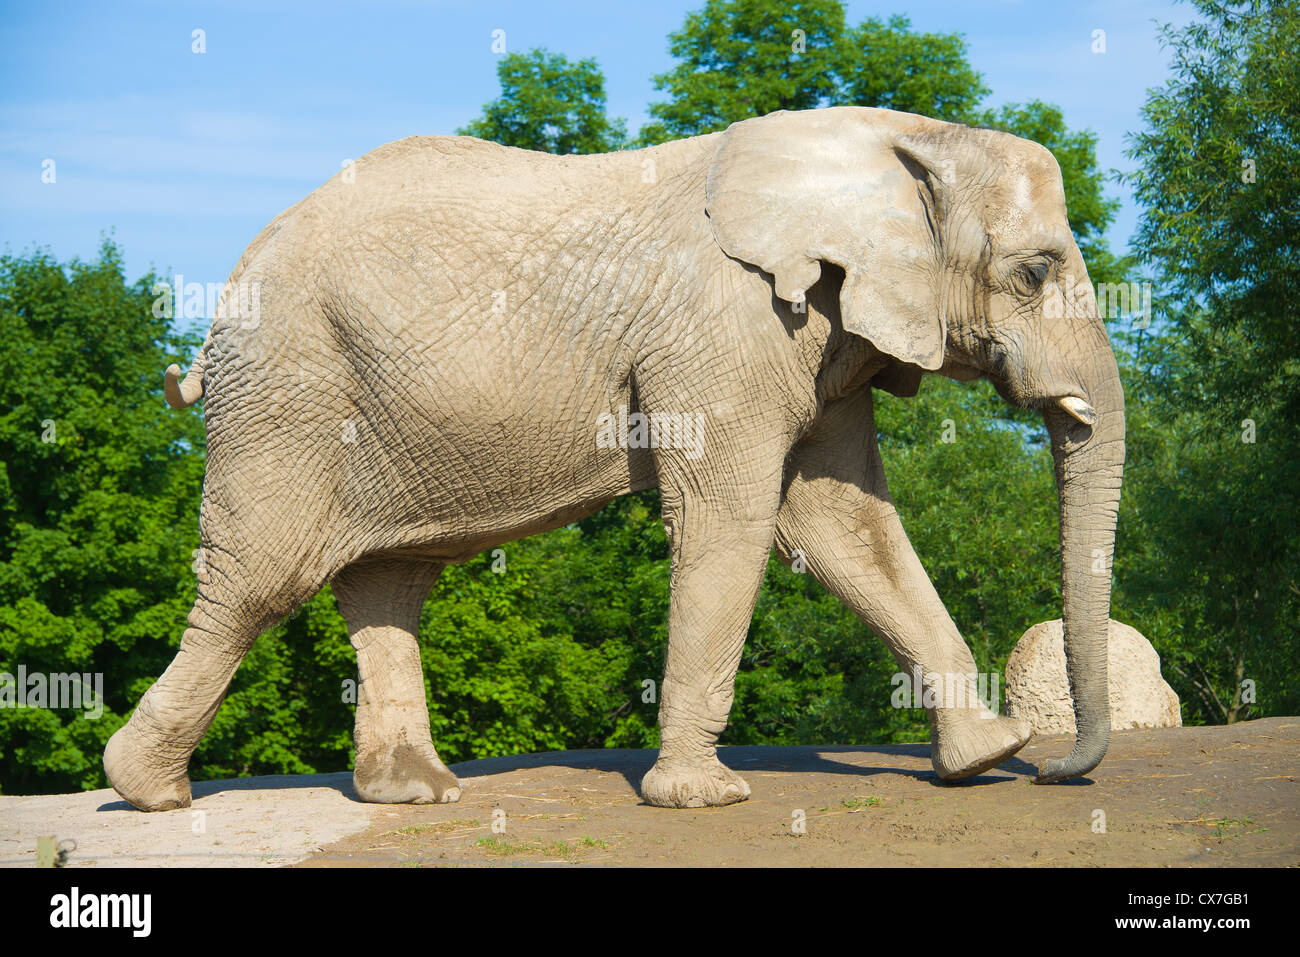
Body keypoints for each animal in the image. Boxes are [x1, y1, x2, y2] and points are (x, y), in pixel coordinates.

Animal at [104, 105, 1125, 812]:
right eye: (1035, 272)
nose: (1056, 771)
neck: (896, 139)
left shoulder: (821, 336)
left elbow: (845, 526)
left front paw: (986, 756)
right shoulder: (727, 325)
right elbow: (732, 520)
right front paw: (704, 800)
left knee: (390, 579)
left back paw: (416, 792)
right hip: (287, 387)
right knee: (261, 579)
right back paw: (150, 792)